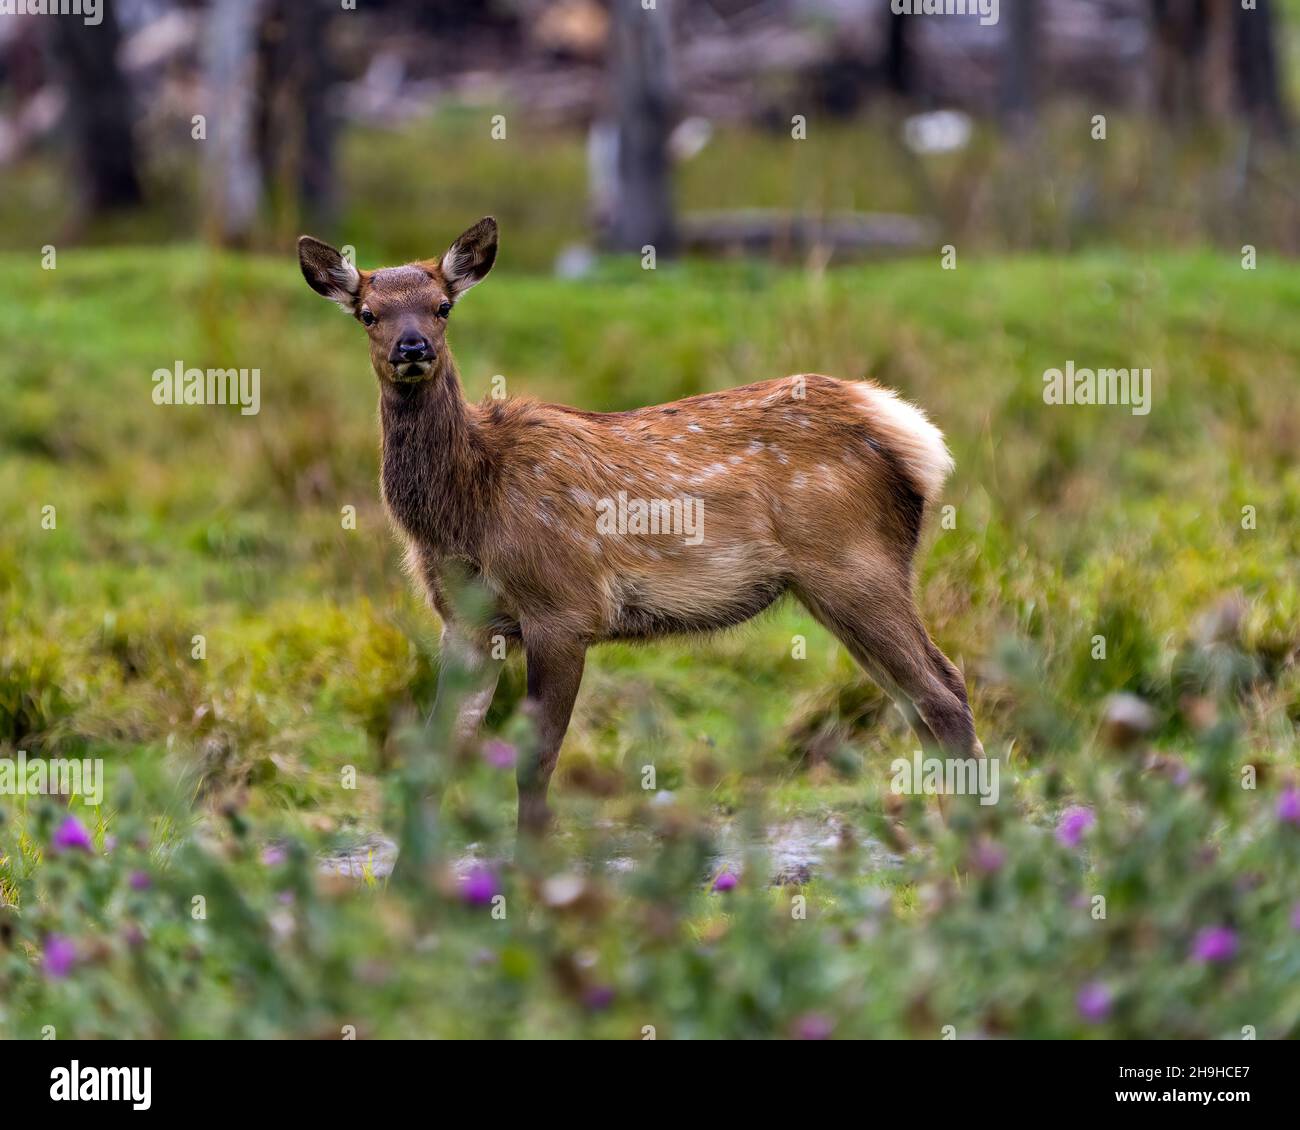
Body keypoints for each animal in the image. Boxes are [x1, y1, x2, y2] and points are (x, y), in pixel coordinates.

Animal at [298, 218, 982, 836]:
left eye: (443, 306)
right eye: (368, 313)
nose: (413, 348)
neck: (466, 512)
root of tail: (912, 433)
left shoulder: (562, 607)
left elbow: (535, 763)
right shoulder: (466, 621)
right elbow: (435, 756)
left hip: (854, 566)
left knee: (942, 692)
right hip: (840, 584)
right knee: (920, 697)